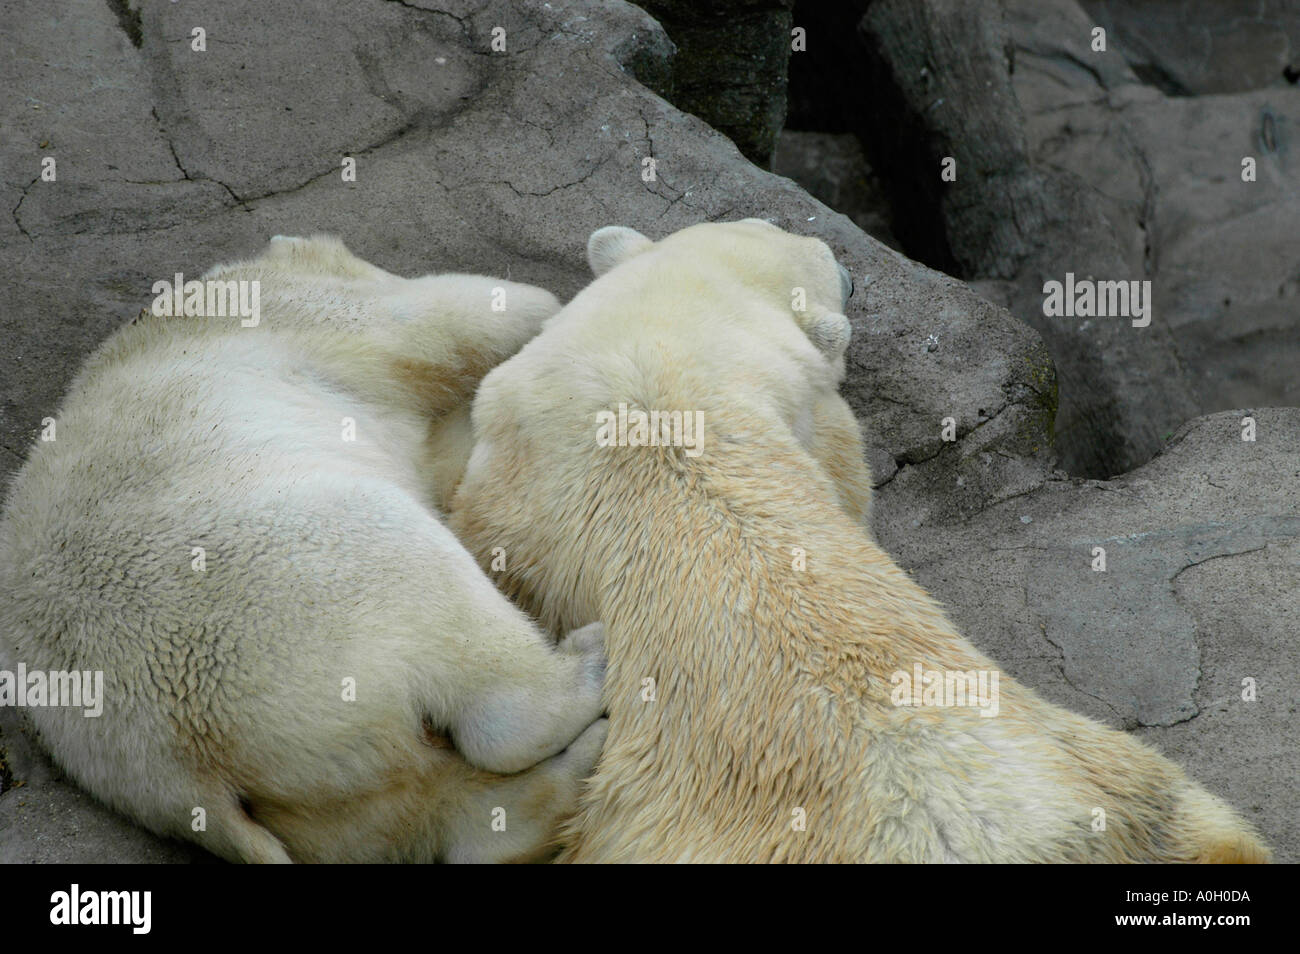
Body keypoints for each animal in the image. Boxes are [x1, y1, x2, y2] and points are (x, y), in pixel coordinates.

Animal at [0, 235, 608, 863]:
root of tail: (187, 772)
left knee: (404, 807)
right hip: (296, 584)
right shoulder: (300, 312)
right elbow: (457, 317)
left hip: (299, 776)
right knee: (432, 596)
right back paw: (589, 662)